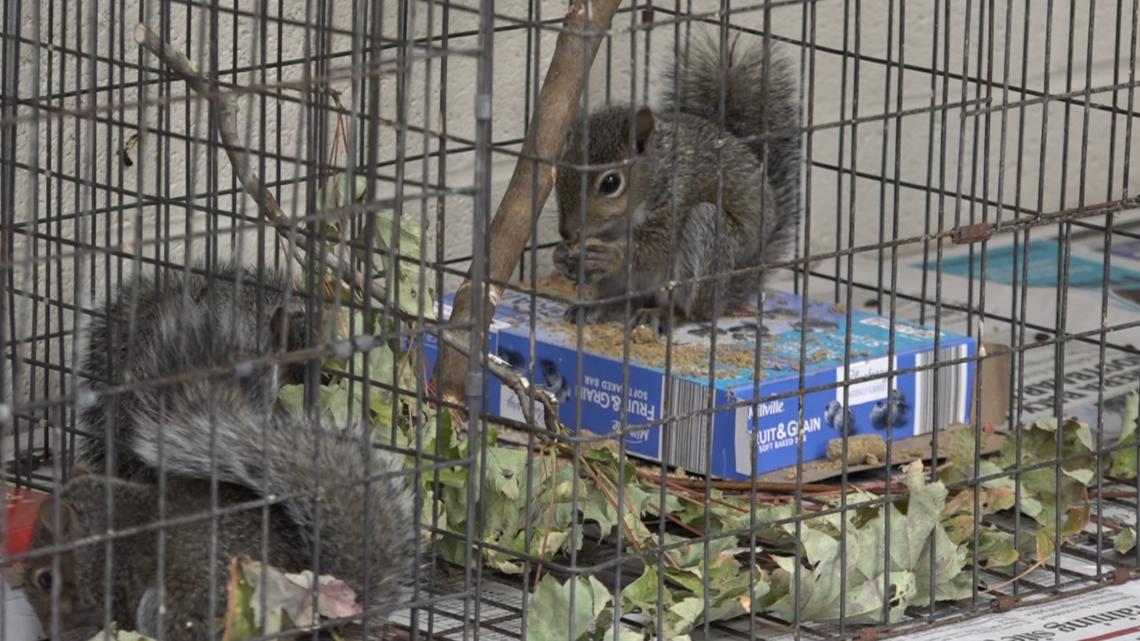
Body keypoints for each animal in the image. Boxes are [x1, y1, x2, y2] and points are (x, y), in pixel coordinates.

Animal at [552, 32, 802, 334]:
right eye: (560, 170)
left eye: (611, 182)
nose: (567, 232)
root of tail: (727, 293)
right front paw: (559, 255)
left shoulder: (677, 196)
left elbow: (657, 245)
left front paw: (612, 256)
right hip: (622, 283)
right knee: (626, 300)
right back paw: (599, 307)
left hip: (705, 236)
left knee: (694, 310)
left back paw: (664, 314)